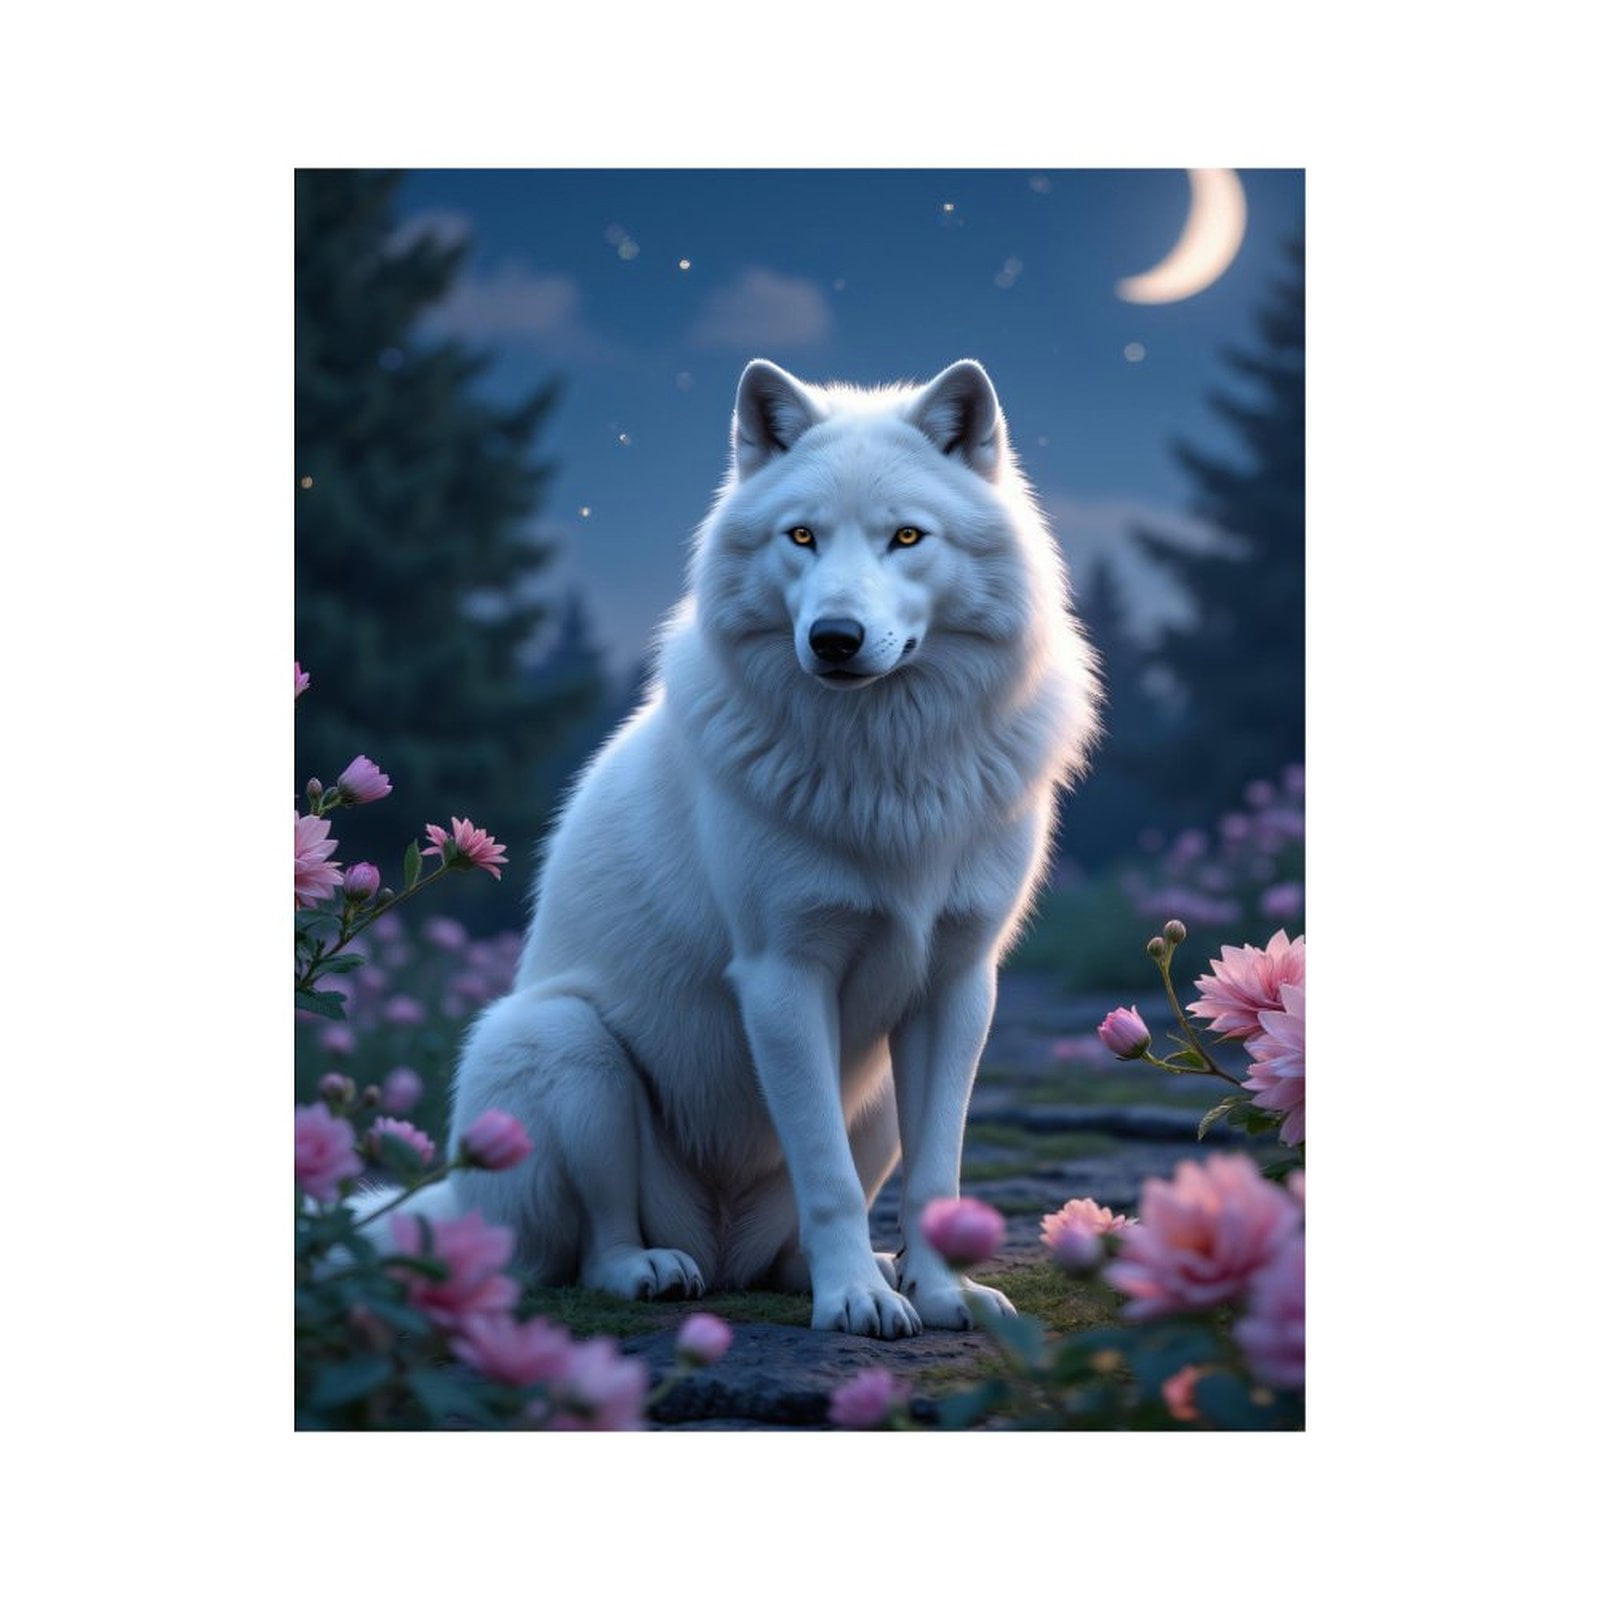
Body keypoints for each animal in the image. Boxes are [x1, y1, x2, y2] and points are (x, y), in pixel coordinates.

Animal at [442, 358, 1100, 1338]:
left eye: (907, 536)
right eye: (802, 537)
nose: (833, 638)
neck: (887, 771)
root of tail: (722, 1253)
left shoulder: (958, 984)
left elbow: (936, 1176)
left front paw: (939, 1292)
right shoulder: (783, 975)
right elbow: (826, 1176)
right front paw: (855, 1302)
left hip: (875, 1103)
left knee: (797, 1241)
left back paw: (859, 1271)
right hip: (563, 1042)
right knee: (594, 1249)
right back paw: (659, 1269)